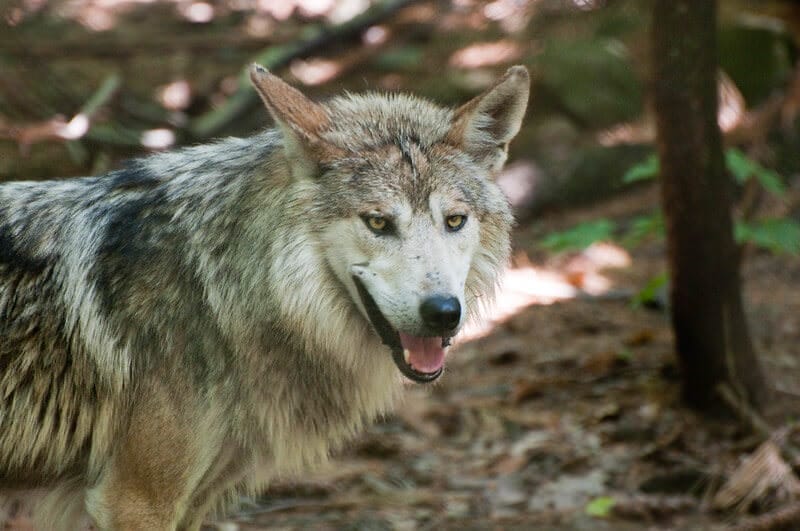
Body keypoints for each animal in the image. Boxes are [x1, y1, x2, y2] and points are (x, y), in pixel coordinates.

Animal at [0, 63, 529, 529]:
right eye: (378, 222)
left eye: (454, 220)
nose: (443, 313)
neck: (216, 290)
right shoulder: (135, 499)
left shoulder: (194, 499)